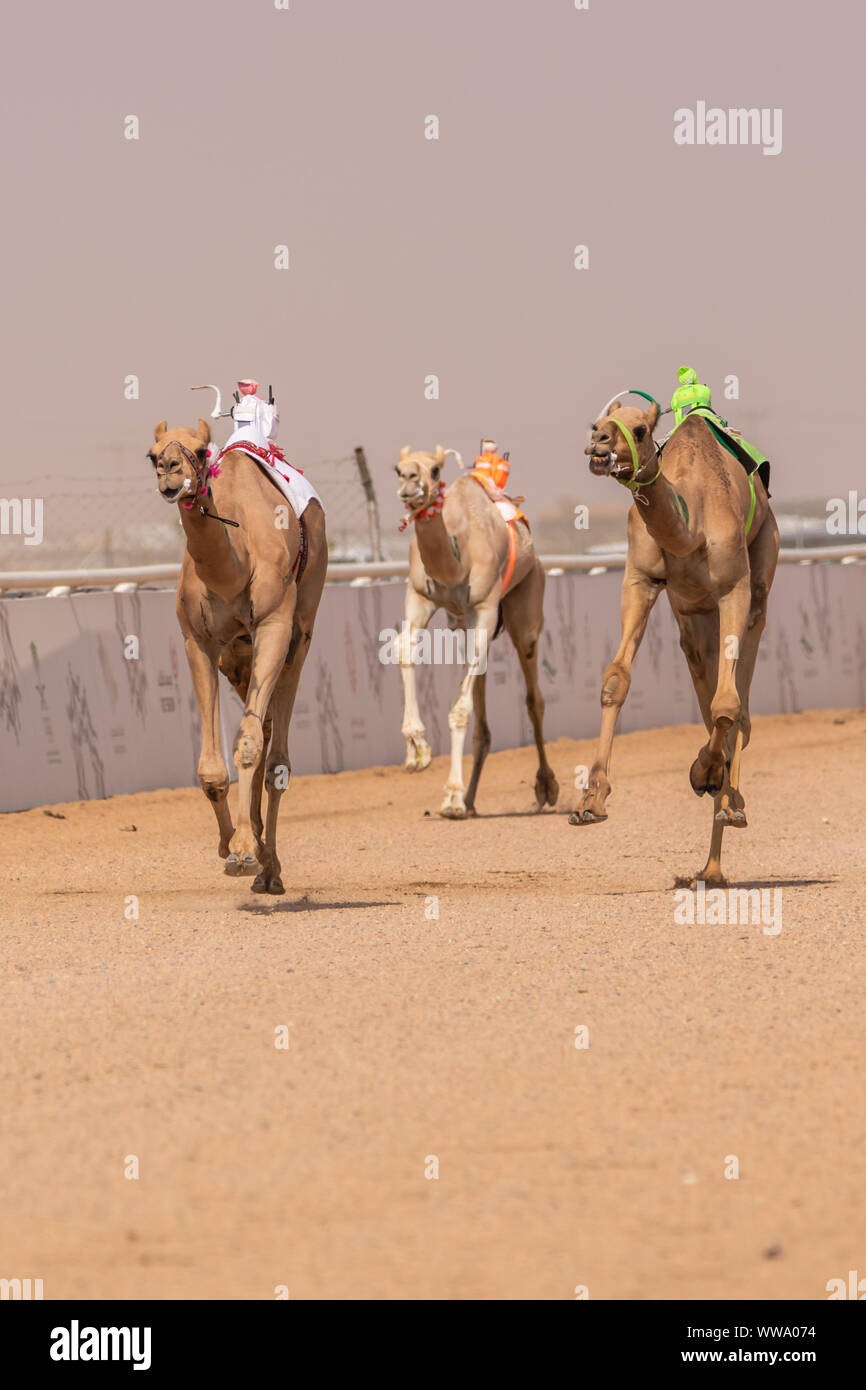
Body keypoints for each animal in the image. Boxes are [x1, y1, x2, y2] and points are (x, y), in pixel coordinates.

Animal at [147, 417, 327, 893]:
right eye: (152, 454)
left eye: (201, 450)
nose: (170, 472)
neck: (236, 564)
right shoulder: (197, 640)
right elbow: (213, 767)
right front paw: (231, 845)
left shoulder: (274, 626)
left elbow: (248, 745)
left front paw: (246, 851)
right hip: (236, 659)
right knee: (263, 729)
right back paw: (262, 853)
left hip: (299, 633)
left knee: (276, 756)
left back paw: (271, 869)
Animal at [396, 445, 559, 817]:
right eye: (397, 469)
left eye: (435, 470)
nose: (410, 482)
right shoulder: (419, 597)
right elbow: (403, 649)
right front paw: (416, 750)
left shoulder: (484, 607)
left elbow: (459, 710)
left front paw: (452, 797)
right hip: (464, 628)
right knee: (483, 721)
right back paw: (471, 800)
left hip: (527, 601)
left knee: (534, 698)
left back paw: (545, 786)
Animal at [571, 399, 779, 886]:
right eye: (597, 423)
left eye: (640, 430)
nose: (598, 444)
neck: (691, 525)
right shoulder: (641, 579)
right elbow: (616, 679)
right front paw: (591, 801)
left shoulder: (734, 587)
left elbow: (728, 704)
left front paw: (706, 775)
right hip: (691, 618)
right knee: (709, 697)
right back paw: (711, 863)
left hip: (761, 574)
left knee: (739, 705)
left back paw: (730, 809)